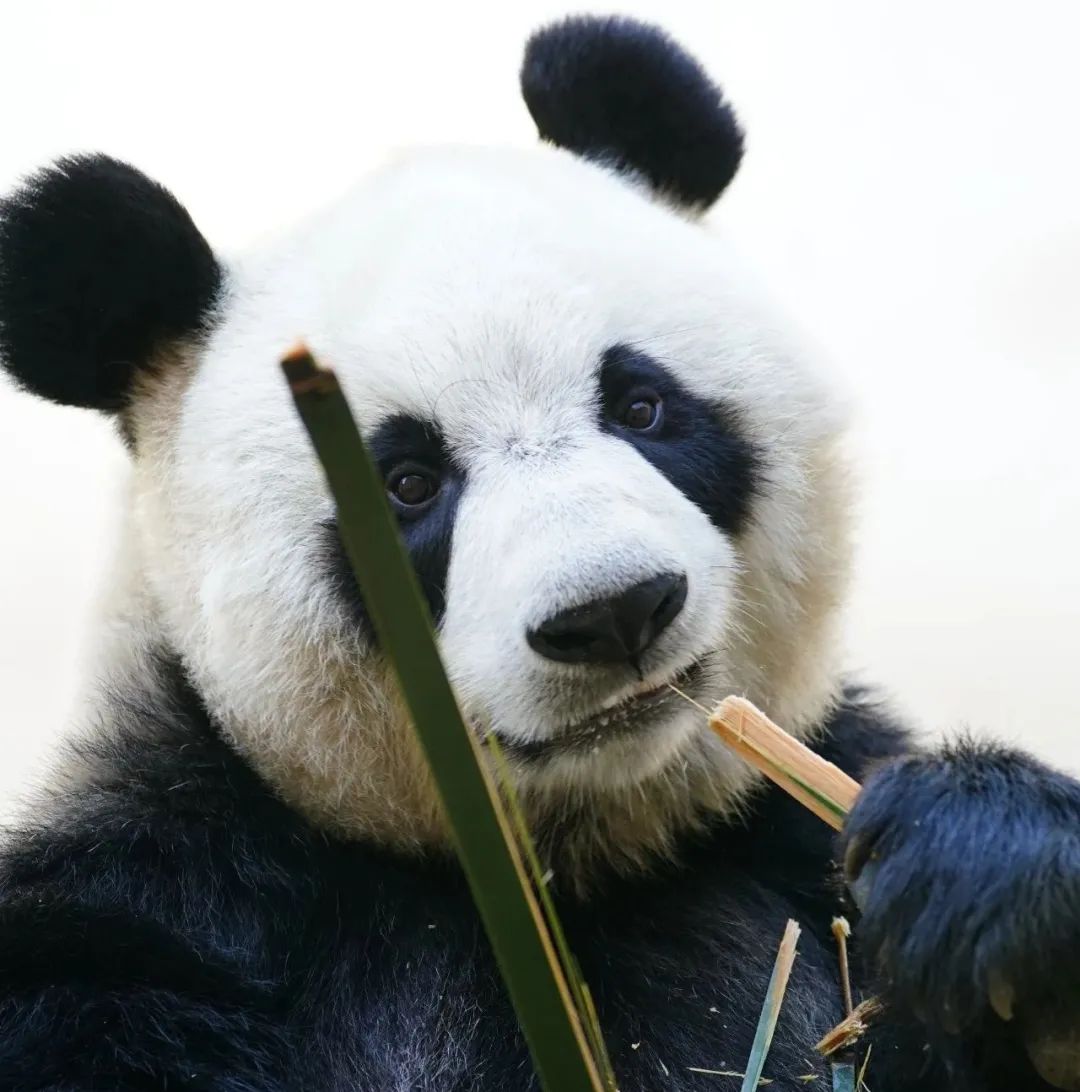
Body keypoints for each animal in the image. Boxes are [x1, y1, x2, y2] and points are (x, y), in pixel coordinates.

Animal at [1, 14, 1079, 1092]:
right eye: (408, 483)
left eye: (641, 406)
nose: (613, 611)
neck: (572, 875)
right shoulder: (176, 906)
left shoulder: (789, 840)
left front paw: (983, 869)